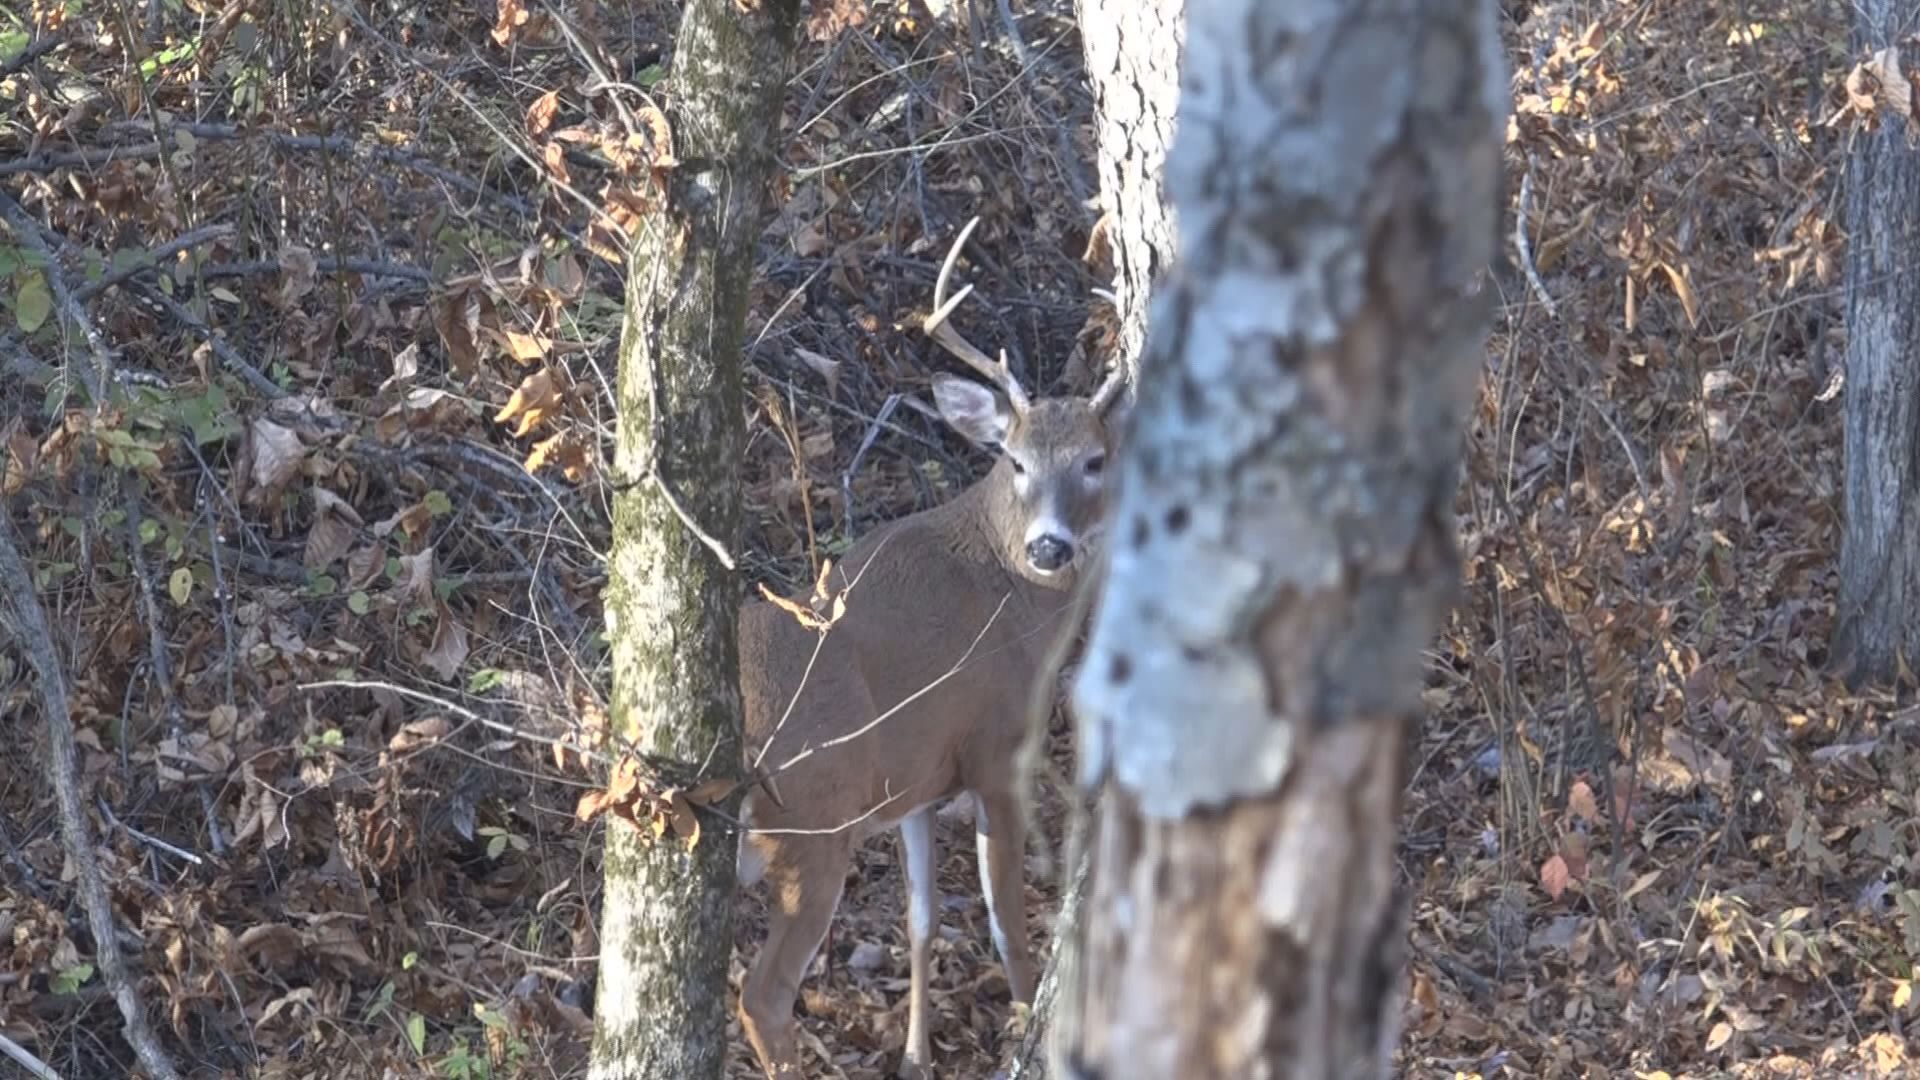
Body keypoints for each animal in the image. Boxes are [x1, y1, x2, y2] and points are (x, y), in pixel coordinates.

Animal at [732, 216, 1126, 1080]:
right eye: (1014, 460)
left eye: (1096, 461)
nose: (1050, 547)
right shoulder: (996, 749)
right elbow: (1007, 922)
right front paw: (1023, 1023)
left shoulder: (914, 783)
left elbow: (922, 918)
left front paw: (915, 1054)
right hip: (811, 826)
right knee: (762, 995)